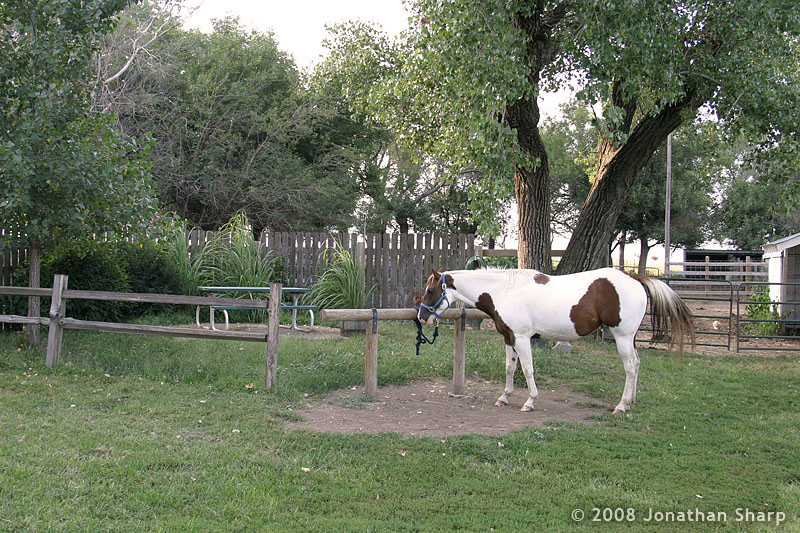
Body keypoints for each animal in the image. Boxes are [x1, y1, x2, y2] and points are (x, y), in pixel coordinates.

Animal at [416, 267, 695, 414]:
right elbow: (509, 368)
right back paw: (631, 401)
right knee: (636, 364)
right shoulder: (509, 337)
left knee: (629, 368)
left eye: (430, 290)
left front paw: (529, 401)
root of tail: (635, 279)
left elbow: (528, 369)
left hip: (622, 337)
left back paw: (622, 405)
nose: (421, 317)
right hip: (631, 338)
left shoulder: (522, 337)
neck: (504, 291)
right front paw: (504, 397)